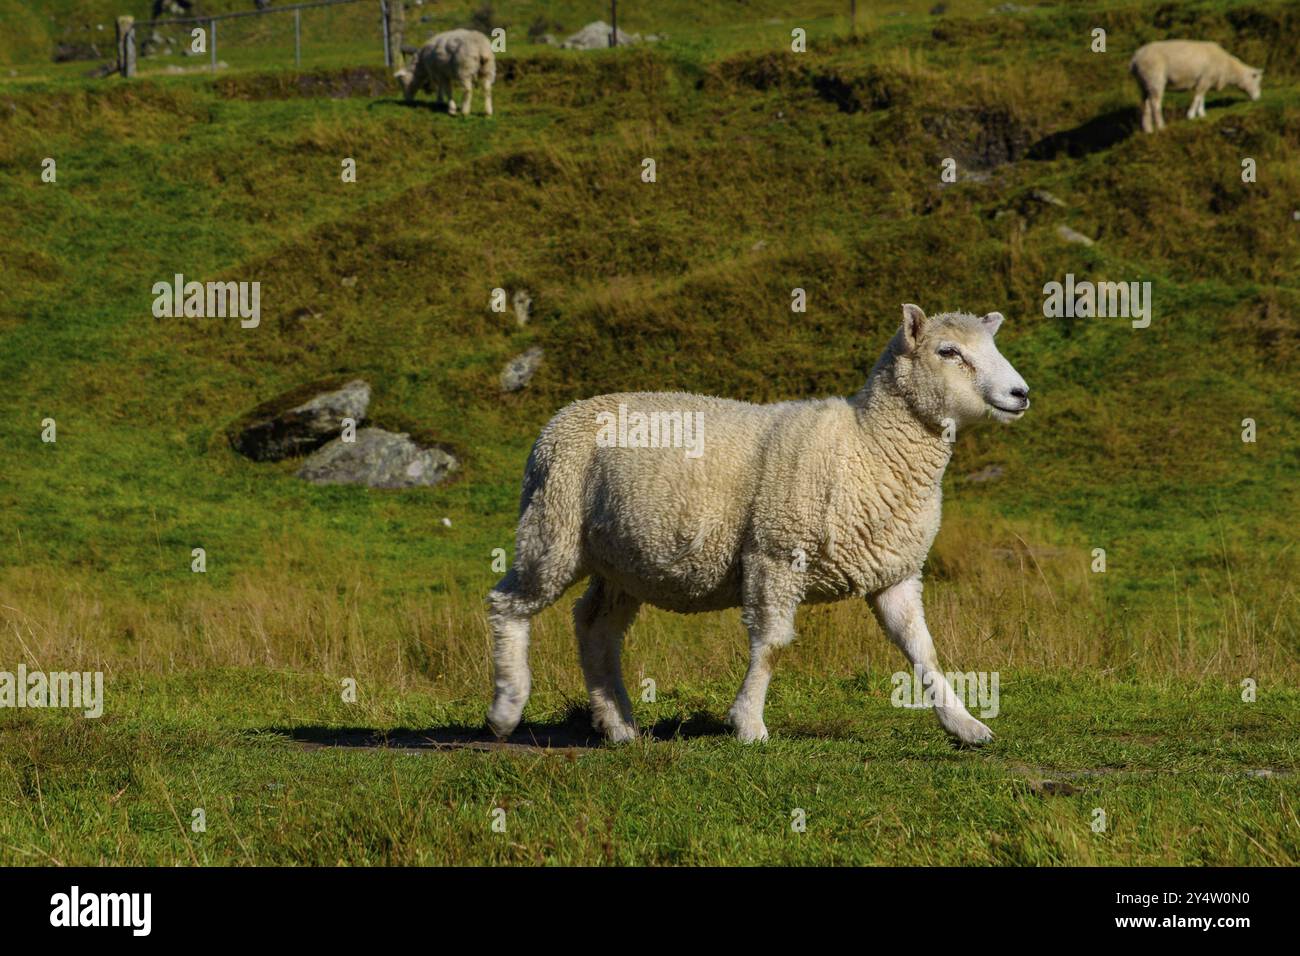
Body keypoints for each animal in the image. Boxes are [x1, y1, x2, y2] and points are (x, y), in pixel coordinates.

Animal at [485, 305, 1031, 746]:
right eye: (948, 351)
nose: (1020, 393)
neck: (868, 445)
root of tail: (562, 416)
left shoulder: (893, 572)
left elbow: (922, 650)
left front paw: (964, 725)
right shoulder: (776, 554)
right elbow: (770, 646)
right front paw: (748, 724)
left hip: (622, 560)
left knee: (595, 625)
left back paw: (617, 724)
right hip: (552, 526)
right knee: (507, 603)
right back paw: (506, 709)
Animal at [1130, 40, 1262, 133]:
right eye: (1257, 81)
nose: (1257, 98)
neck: (1227, 67)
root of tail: (1135, 58)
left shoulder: (1206, 80)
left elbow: (1202, 97)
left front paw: (1201, 113)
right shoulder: (1205, 78)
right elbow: (1198, 96)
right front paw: (1191, 114)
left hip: (1145, 83)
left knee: (1146, 103)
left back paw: (1148, 129)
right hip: (1155, 78)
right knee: (1155, 104)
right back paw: (1161, 126)